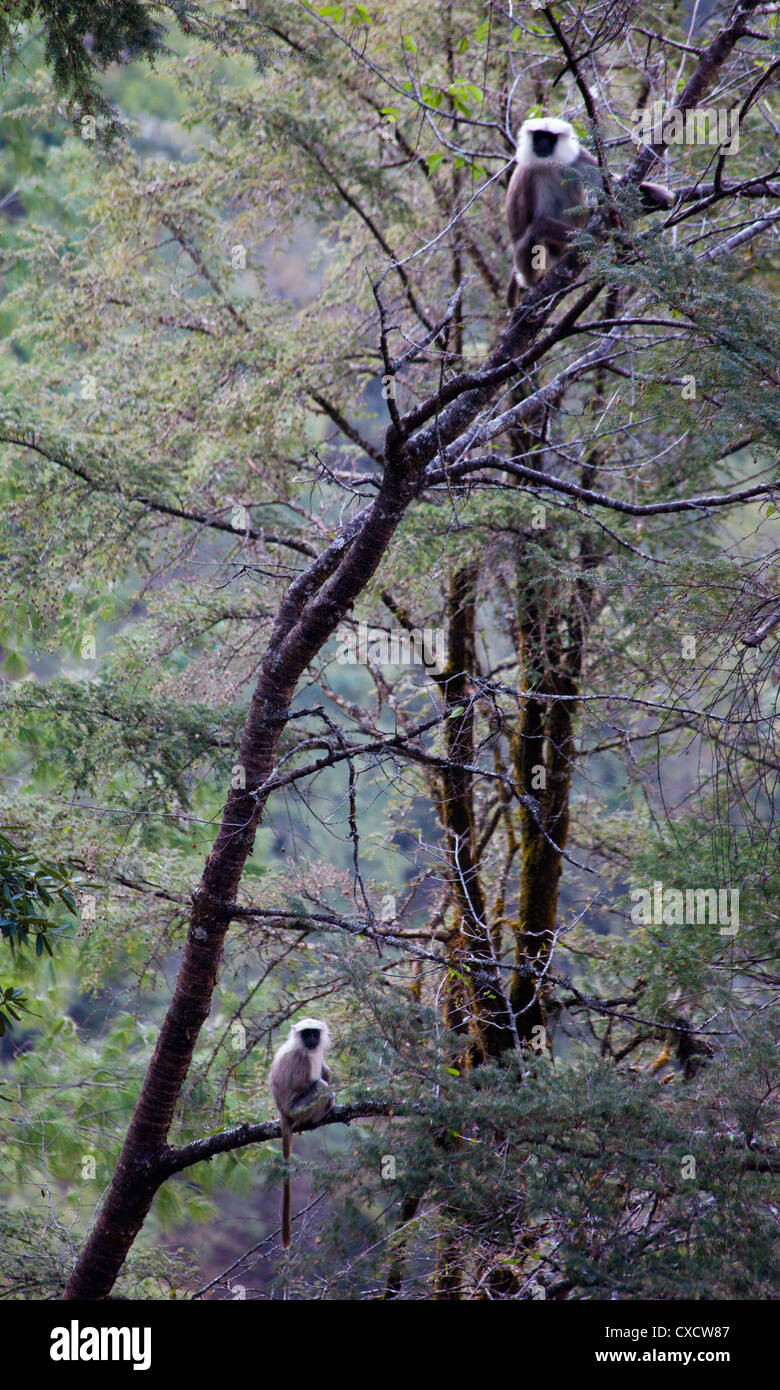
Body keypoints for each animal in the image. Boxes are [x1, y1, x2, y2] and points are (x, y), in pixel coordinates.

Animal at [269, 1017, 333, 1248]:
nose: (312, 1038)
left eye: (314, 1033)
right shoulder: (300, 1059)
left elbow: (325, 1069)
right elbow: (303, 1085)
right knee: (321, 1086)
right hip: (296, 1110)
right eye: (306, 1034)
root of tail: (282, 1113)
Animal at [506, 117, 674, 307]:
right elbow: (538, 221)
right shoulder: (529, 173)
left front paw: (656, 194)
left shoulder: (578, 156)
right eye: (539, 136)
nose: (542, 144)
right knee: (534, 233)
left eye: (550, 138)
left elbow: (611, 185)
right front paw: (598, 236)